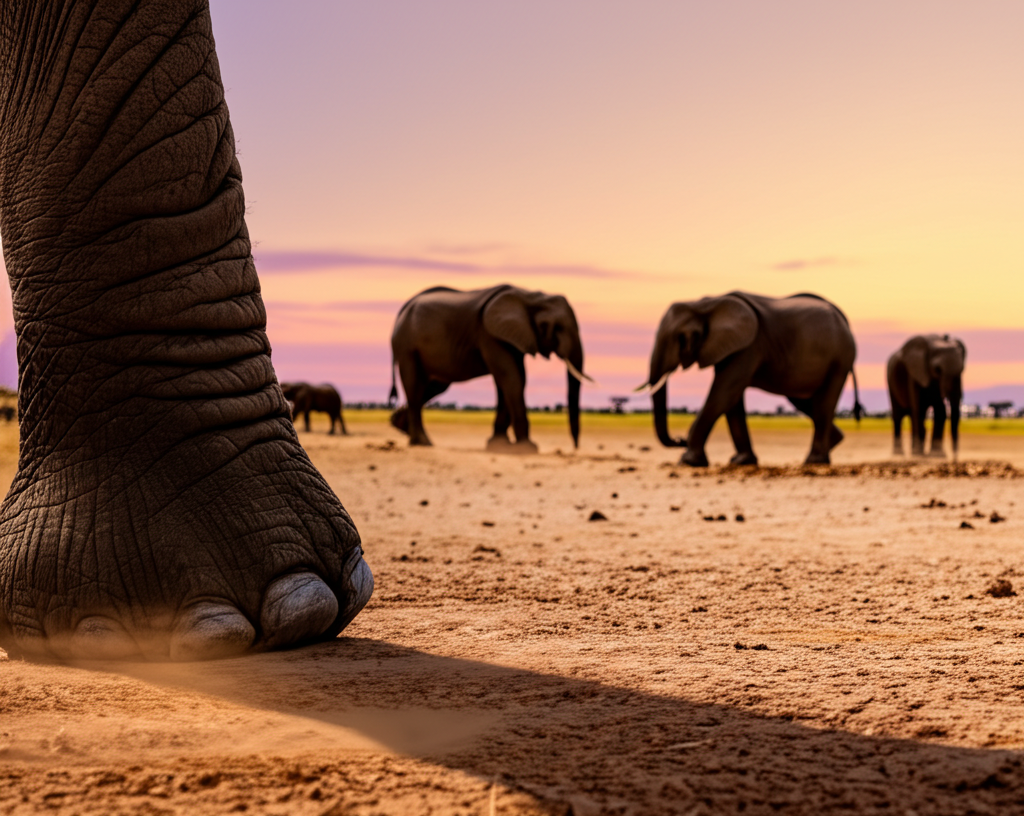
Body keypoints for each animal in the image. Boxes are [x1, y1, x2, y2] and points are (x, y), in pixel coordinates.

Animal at [388, 284, 592, 452]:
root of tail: (402, 311)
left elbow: (513, 379)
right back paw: (422, 442)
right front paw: (527, 448)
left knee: (434, 386)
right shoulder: (489, 334)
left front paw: (499, 445)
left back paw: (400, 425)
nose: (575, 448)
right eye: (554, 327)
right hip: (407, 346)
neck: (529, 296)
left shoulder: (513, 337)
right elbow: (511, 377)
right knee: (414, 385)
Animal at [638, 292, 862, 466]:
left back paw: (814, 461)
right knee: (806, 402)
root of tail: (844, 319)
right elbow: (731, 399)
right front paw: (741, 461)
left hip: (840, 358)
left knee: (824, 402)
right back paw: (832, 444)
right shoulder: (732, 347)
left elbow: (724, 393)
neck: (706, 303)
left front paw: (688, 461)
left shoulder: (749, 346)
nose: (680, 439)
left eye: (681, 338)